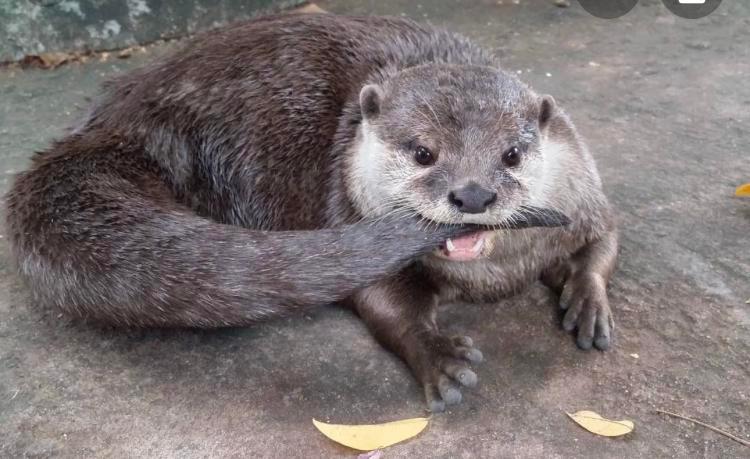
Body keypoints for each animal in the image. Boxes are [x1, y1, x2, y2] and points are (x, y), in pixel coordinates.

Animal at [4, 14, 616, 412]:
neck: (492, 278)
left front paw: (588, 301)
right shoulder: (344, 206)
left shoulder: (586, 194)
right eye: (423, 152)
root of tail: (111, 123)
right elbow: (381, 299)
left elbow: (603, 242)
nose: (472, 195)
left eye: (512, 153)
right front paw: (437, 355)